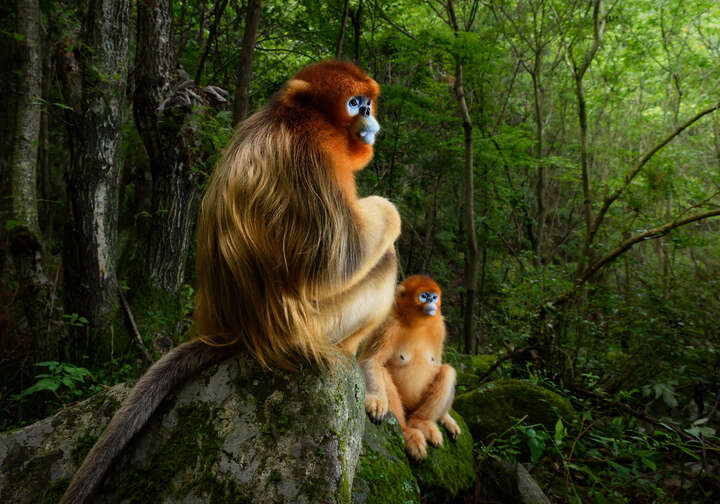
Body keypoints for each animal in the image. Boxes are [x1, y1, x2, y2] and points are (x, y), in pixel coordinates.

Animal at [59, 62, 400, 504]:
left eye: (367, 102)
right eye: (354, 103)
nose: (369, 115)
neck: (290, 120)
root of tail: (236, 331)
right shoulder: (311, 159)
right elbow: (338, 262)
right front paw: (387, 209)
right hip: (318, 323)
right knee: (383, 259)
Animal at [360, 276, 462, 460]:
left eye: (434, 297)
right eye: (423, 296)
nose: (431, 301)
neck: (416, 324)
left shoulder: (439, 327)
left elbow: (437, 364)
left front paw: (446, 418)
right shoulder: (389, 324)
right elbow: (371, 360)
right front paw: (376, 400)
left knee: (447, 371)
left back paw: (422, 422)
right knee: (382, 371)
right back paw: (407, 432)